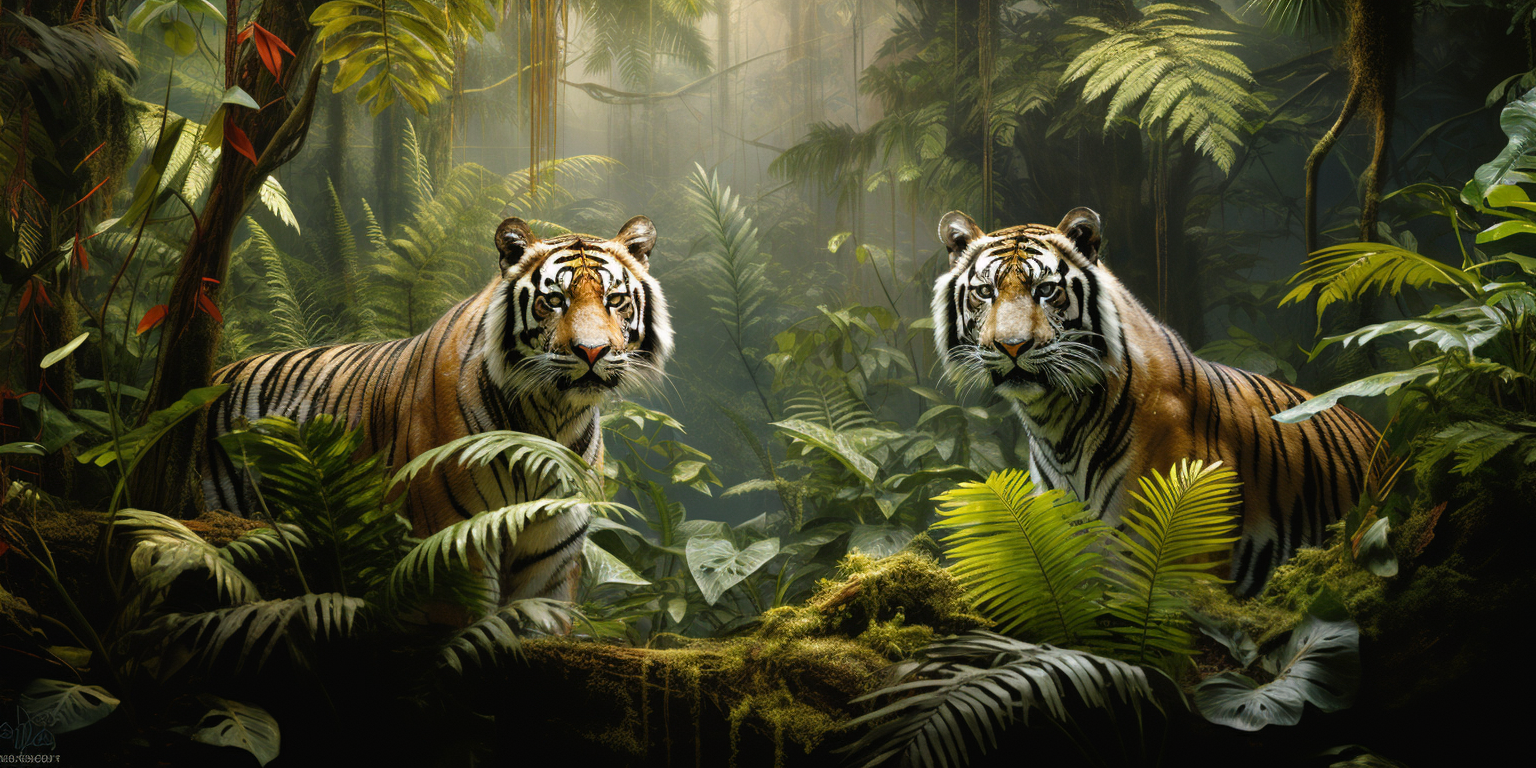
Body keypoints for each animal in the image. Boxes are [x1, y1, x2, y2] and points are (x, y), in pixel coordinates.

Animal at [202, 215, 672, 604]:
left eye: (615, 300)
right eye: (554, 301)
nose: (592, 351)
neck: (551, 416)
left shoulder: (552, 554)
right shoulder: (455, 542)